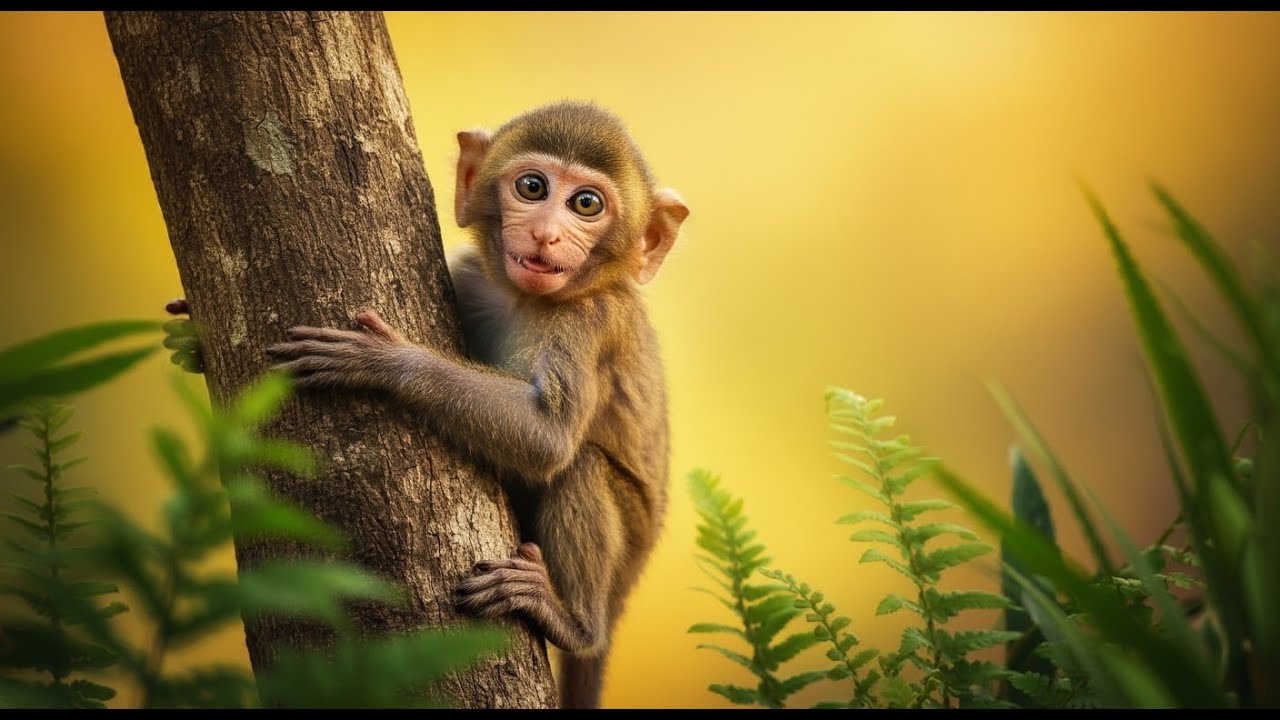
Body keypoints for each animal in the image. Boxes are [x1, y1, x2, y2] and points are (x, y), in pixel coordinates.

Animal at [169, 102, 688, 708]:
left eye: (586, 204)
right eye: (532, 187)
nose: (546, 234)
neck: (523, 300)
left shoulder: (590, 321)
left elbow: (549, 438)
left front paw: (387, 361)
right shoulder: (470, 276)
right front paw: (190, 335)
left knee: (579, 464)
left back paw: (573, 621)